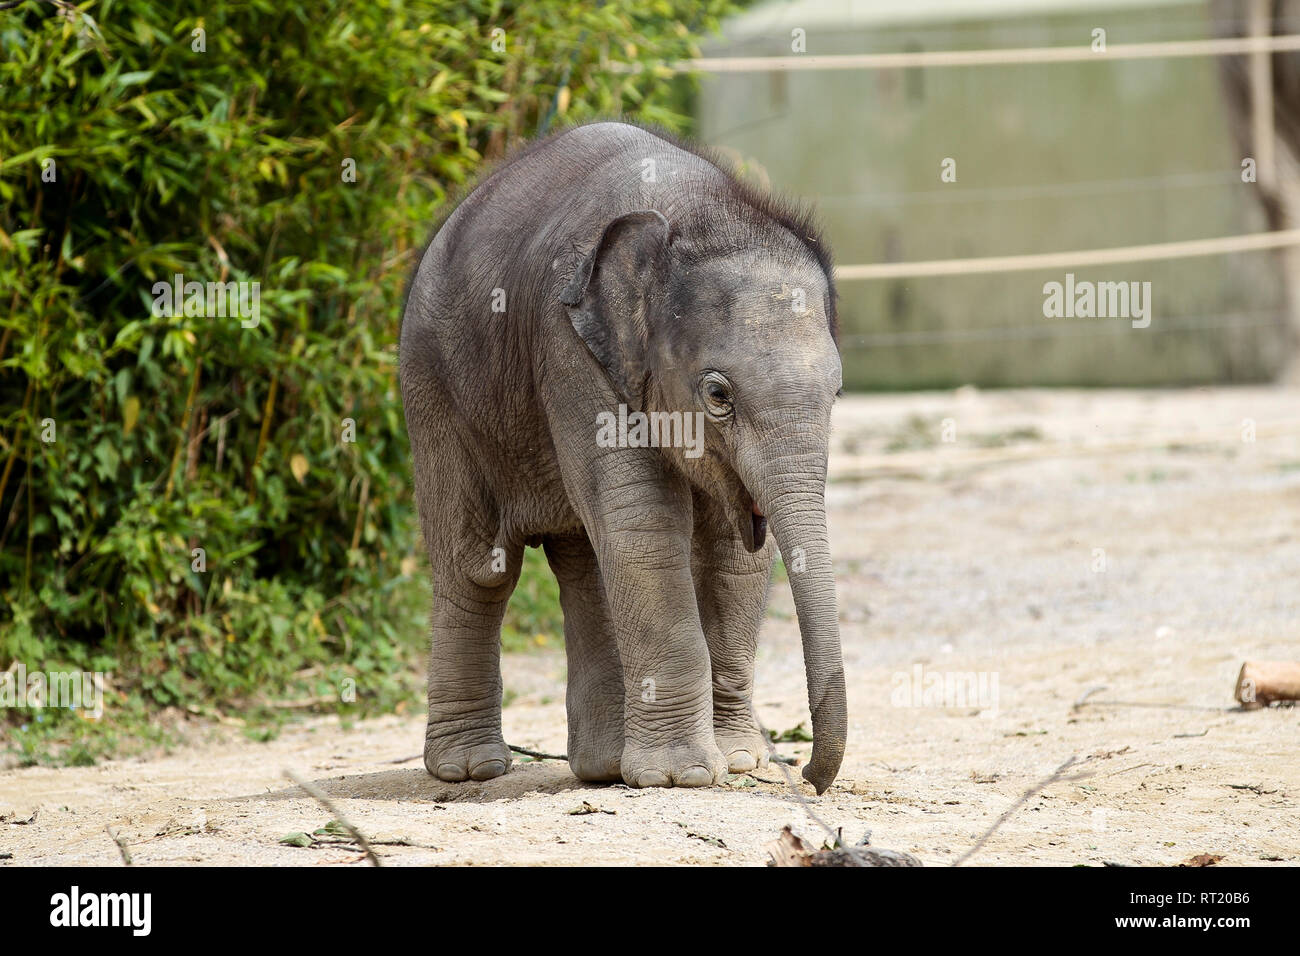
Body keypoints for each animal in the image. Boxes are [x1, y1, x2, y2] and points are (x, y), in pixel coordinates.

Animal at [399, 120, 846, 793]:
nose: (809, 779)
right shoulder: (570, 348)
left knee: (584, 558)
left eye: (838, 392)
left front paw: (740, 761)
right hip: (433, 388)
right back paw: (470, 770)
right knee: (479, 567)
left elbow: (735, 551)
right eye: (718, 395)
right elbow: (646, 522)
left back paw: (603, 768)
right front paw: (683, 777)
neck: (696, 210)